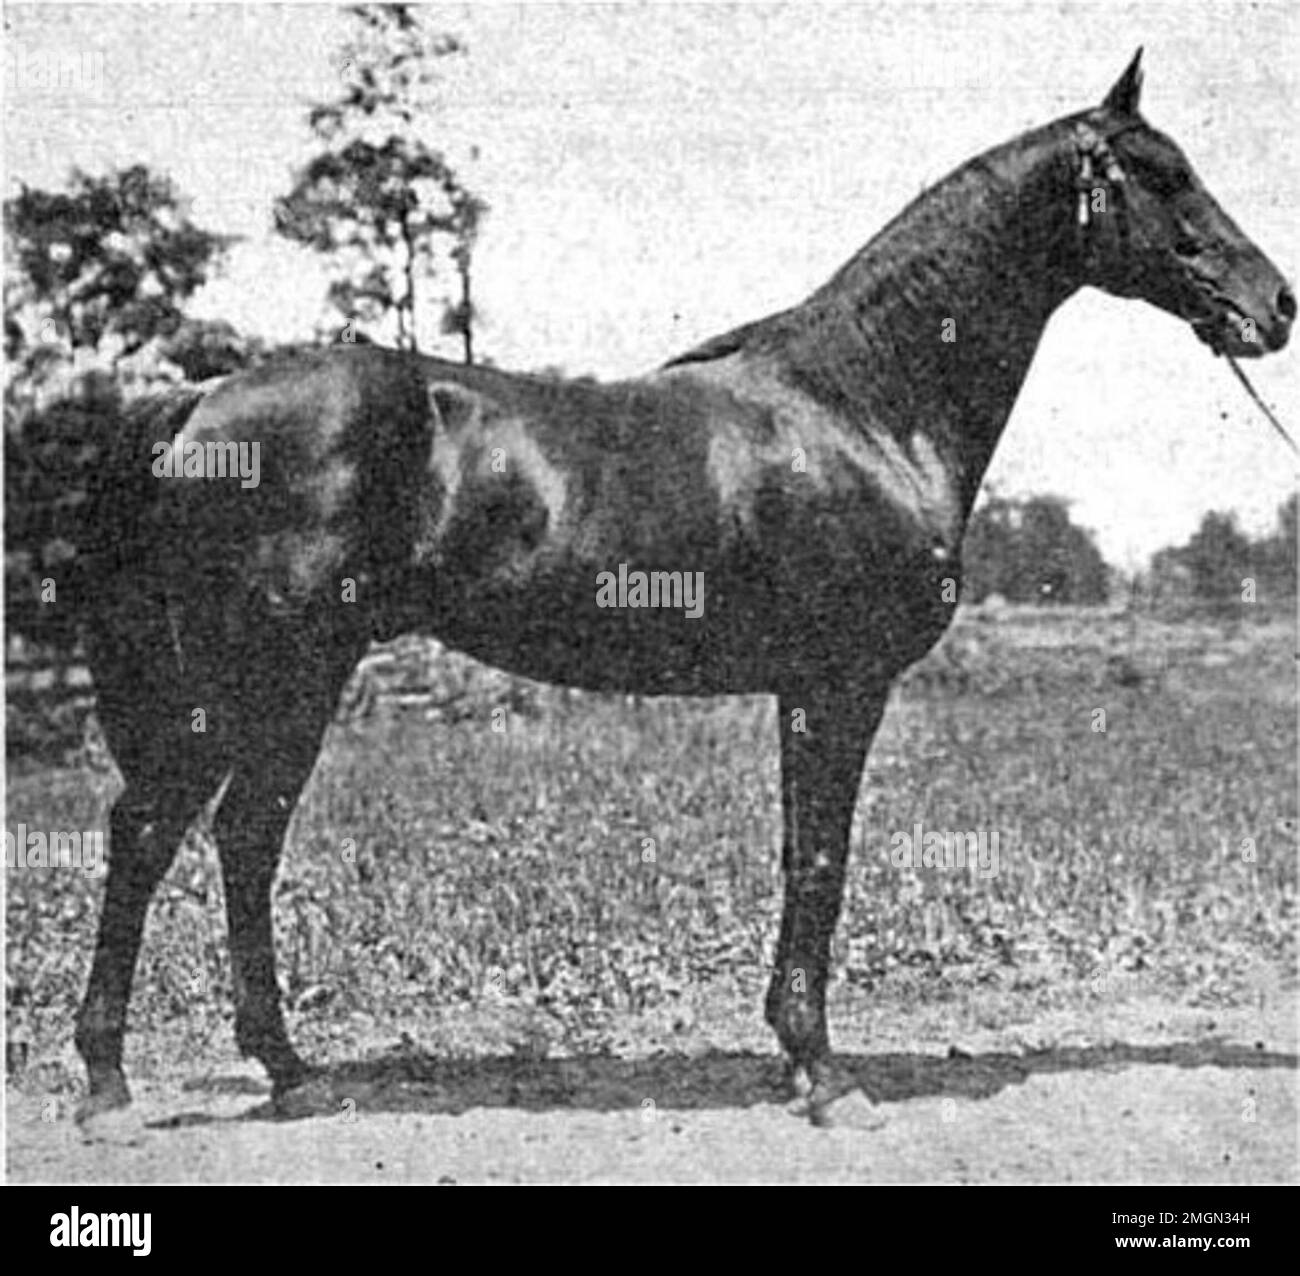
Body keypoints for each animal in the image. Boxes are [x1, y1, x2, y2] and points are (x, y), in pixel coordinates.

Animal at [72, 50, 1292, 1126]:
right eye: (1162, 174)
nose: (1274, 304)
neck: (864, 401)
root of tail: (195, 405)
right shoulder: (837, 685)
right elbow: (818, 860)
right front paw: (820, 1074)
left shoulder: (807, 690)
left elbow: (804, 856)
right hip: (263, 678)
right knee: (168, 831)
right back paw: (132, 1085)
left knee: (224, 837)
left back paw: (265, 1072)